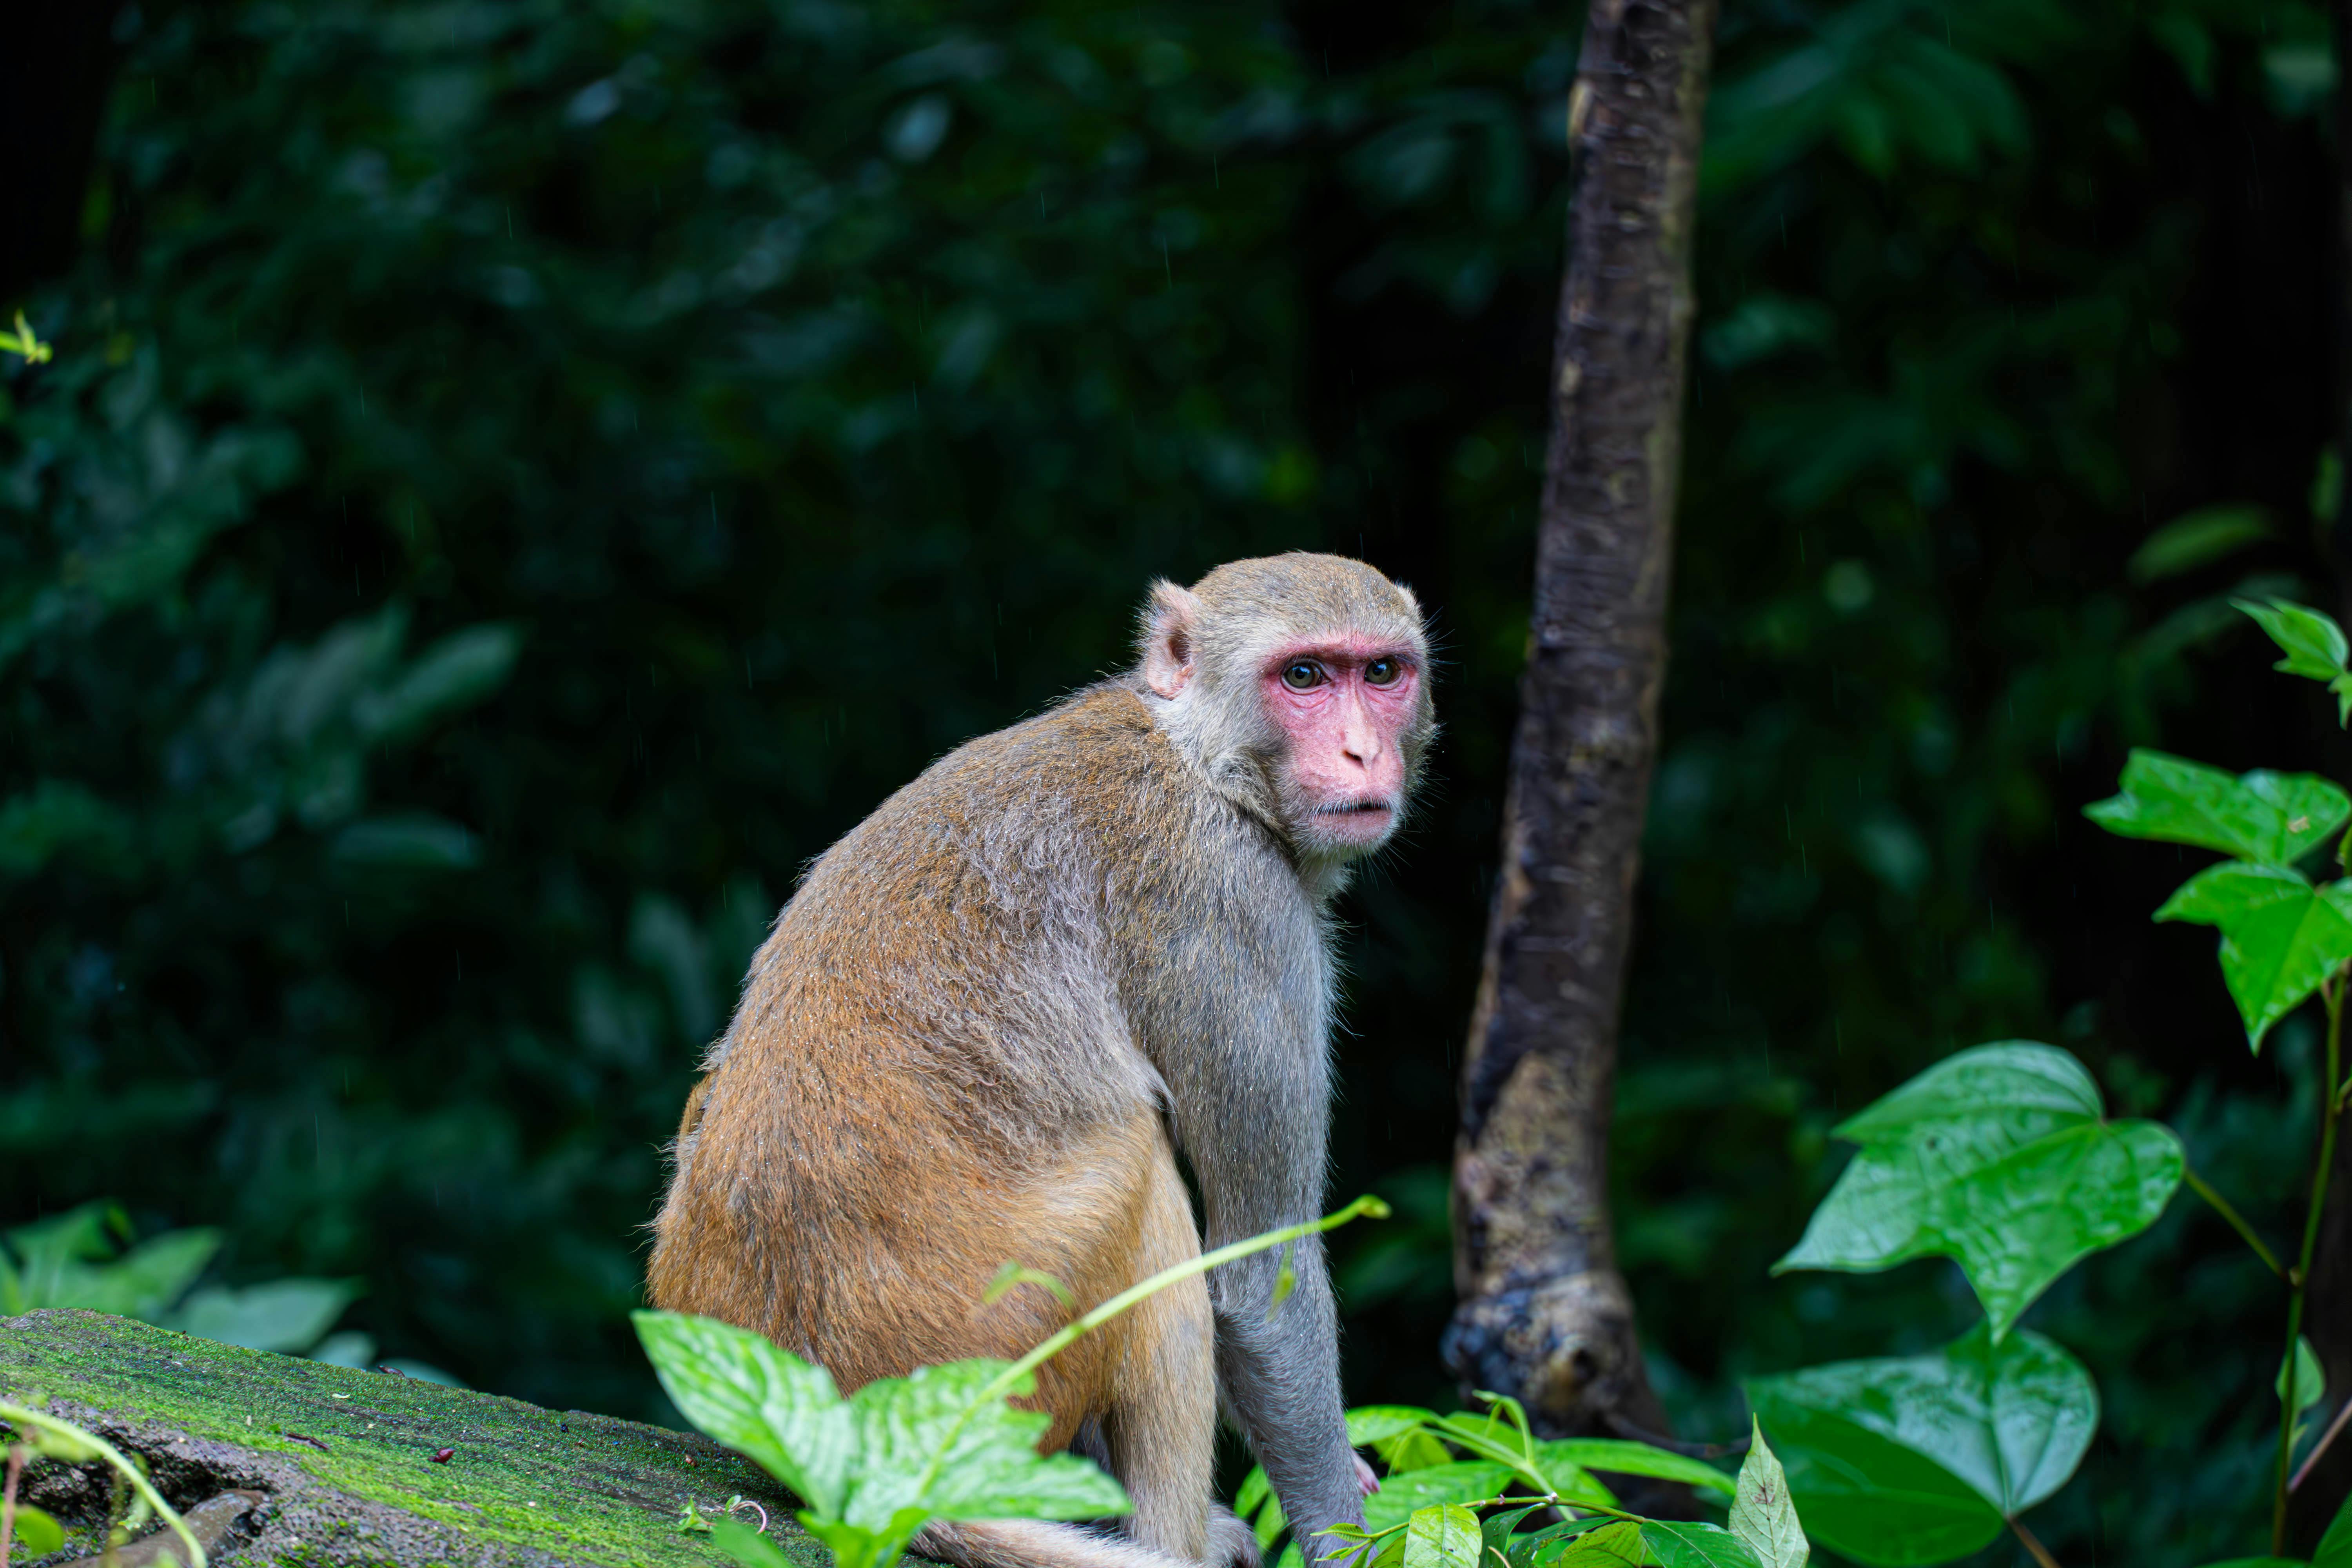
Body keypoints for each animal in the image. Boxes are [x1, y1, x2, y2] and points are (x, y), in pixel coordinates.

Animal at [647, 552, 1435, 1568]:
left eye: (1381, 673)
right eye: (1304, 676)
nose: (1361, 754)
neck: (1201, 755)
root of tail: (852, 1449)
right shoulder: (1234, 902)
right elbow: (1263, 1287)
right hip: (1001, 1347)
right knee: (1147, 1186)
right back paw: (1174, 1541)